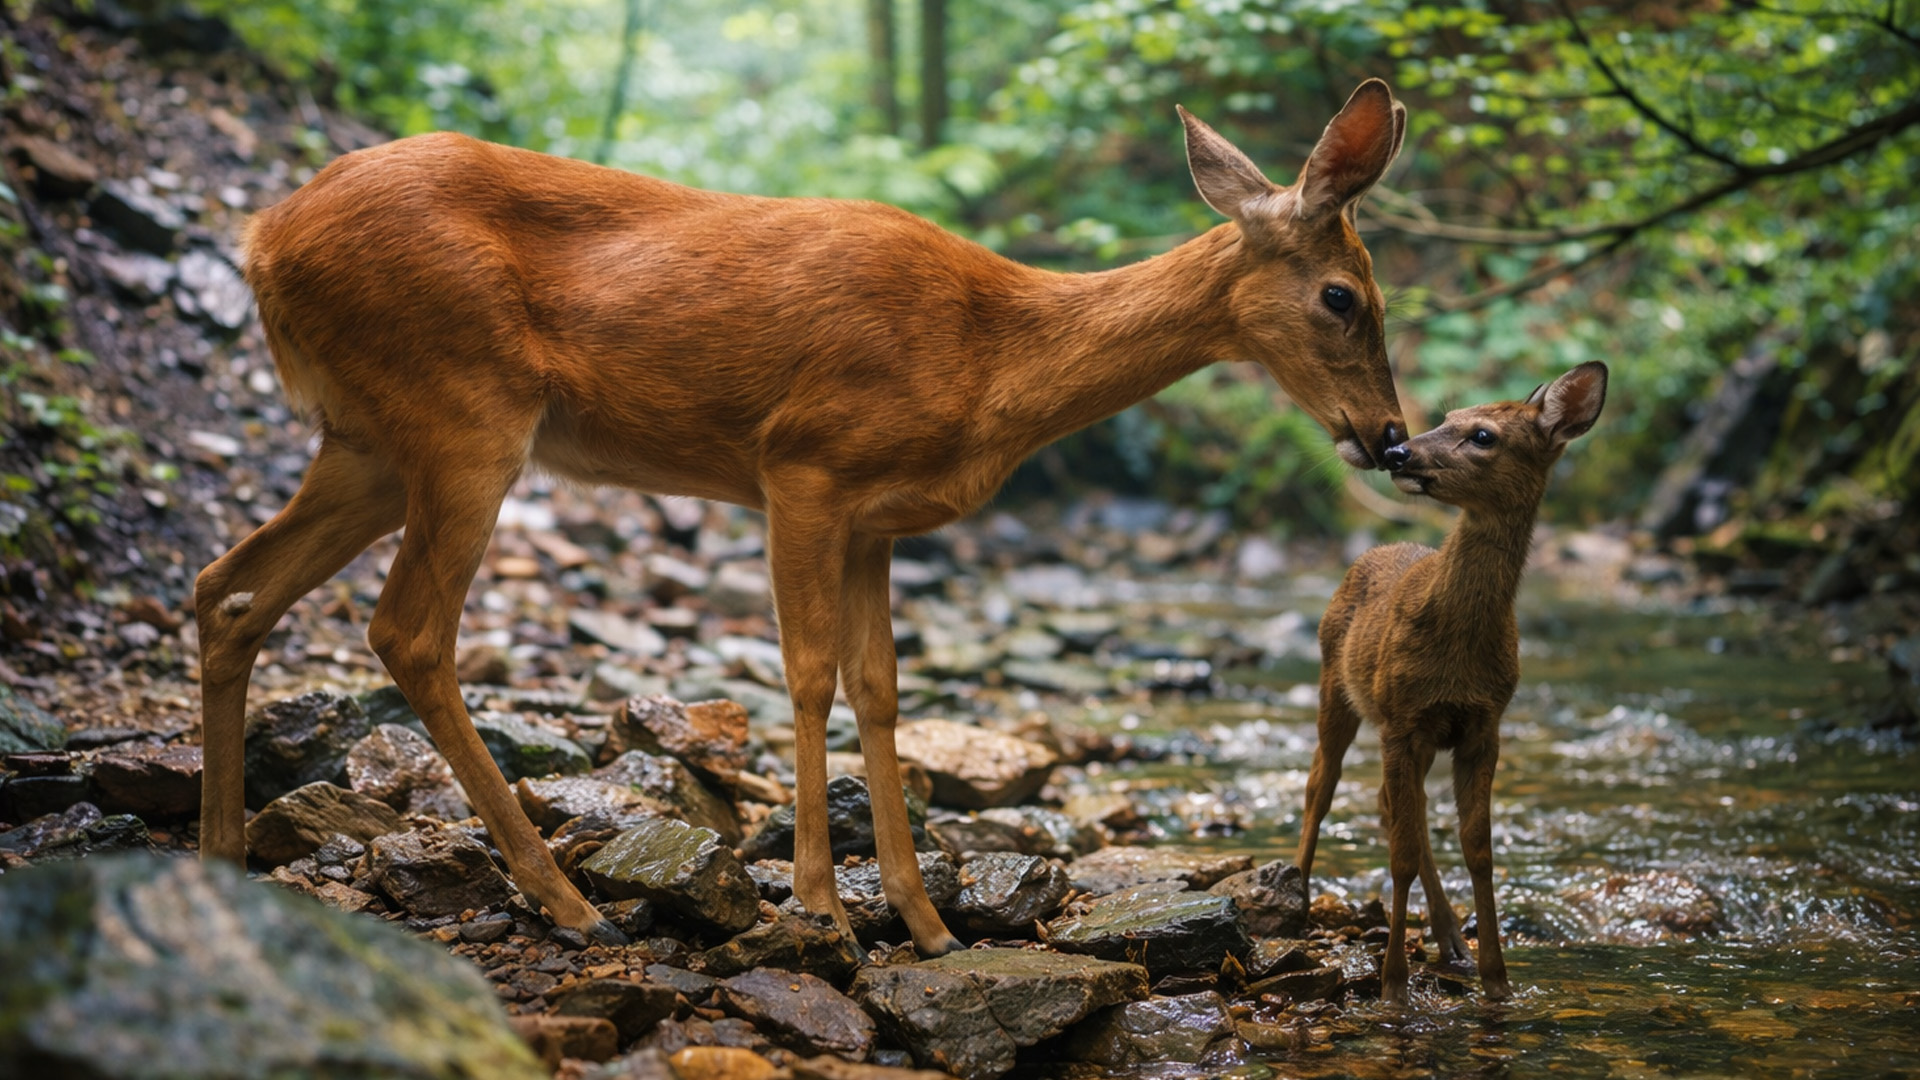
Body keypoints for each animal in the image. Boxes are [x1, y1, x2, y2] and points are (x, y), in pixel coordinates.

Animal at [197, 80, 1411, 954]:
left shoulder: (877, 520)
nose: (1390, 437)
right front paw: (822, 907)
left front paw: (923, 922)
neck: (993, 362)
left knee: (228, 588)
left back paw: (217, 859)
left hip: (367, 440)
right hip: (462, 409)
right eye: (1345, 298)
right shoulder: (803, 466)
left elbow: (881, 692)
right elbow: (810, 675)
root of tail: (262, 237)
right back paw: (569, 903)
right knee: (406, 629)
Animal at [1294, 361, 1608, 1003]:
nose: (1397, 451)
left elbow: (1478, 849)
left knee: (1392, 807)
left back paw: (1450, 942)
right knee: (1321, 786)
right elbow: (1401, 856)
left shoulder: (1482, 724)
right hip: (1338, 688)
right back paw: (1297, 898)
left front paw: (1496, 977)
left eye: (1483, 435)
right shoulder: (1400, 718)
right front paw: (1392, 985)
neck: (1457, 647)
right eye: (1445, 417)